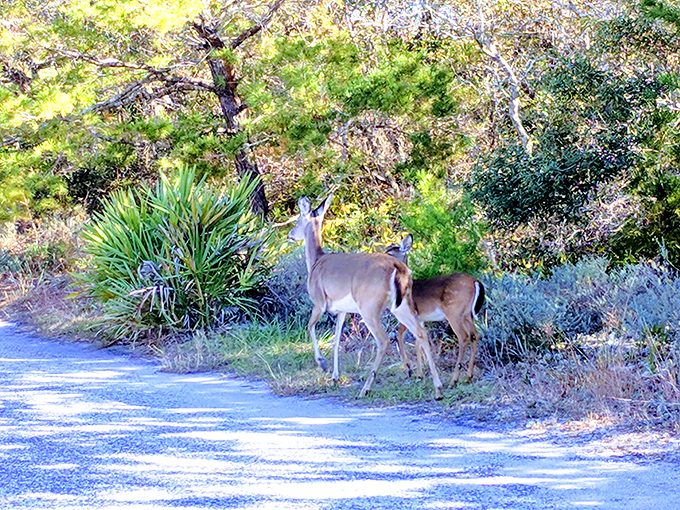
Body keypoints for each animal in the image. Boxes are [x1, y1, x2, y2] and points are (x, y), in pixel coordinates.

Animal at [288, 195, 443, 399]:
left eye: (297, 220)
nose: (289, 235)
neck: (315, 262)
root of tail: (398, 268)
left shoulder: (319, 301)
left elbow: (310, 327)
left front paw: (323, 364)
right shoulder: (342, 310)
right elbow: (336, 341)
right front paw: (335, 377)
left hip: (368, 307)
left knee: (384, 340)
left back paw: (366, 388)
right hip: (401, 305)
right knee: (420, 332)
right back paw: (437, 388)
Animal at [385, 234, 485, 385]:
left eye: (389, 253)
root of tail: (476, 282)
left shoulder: (410, 314)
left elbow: (400, 334)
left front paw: (410, 370)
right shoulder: (420, 318)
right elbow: (417, 341)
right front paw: (419, 374)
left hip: (453, 312)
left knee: (464, 337)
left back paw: (454, 379)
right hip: (467, 315)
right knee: (476, 335)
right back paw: (468, 376)